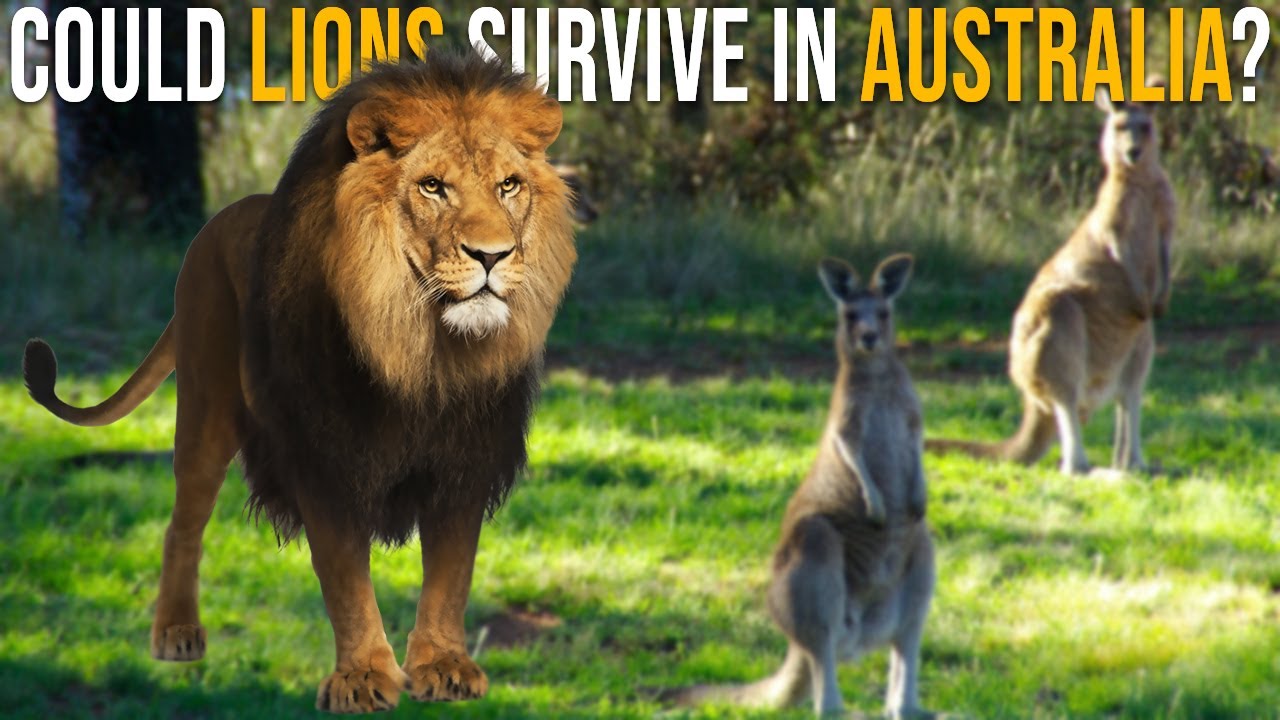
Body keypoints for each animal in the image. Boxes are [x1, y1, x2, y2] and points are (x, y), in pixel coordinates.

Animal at [22, 50, 577, 713]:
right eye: (432, 186)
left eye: (508, 186)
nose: (492, 255)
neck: (423, 351)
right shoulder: (324, 456)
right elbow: (344, 578)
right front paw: (362, 677)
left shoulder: (464, 461)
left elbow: (451, 573)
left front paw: (443, 666)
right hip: (205, 411)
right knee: (183, 523)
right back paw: (176, 634)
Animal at [927, 86, 1174, 475]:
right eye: (1119, 127)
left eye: (1146, 127)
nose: (1133, 152)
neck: (1139, 181)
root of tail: (1031, 399)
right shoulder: (1113, 222)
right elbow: (1119, 250)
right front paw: (1139, 293)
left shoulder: (1165, 218)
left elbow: (1165, 252)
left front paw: (1160, 300)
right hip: (1057, 321)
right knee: (1069, 408)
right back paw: (1095, 470)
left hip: (1137, 340)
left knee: (1127, 396)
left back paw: (1133, 465)